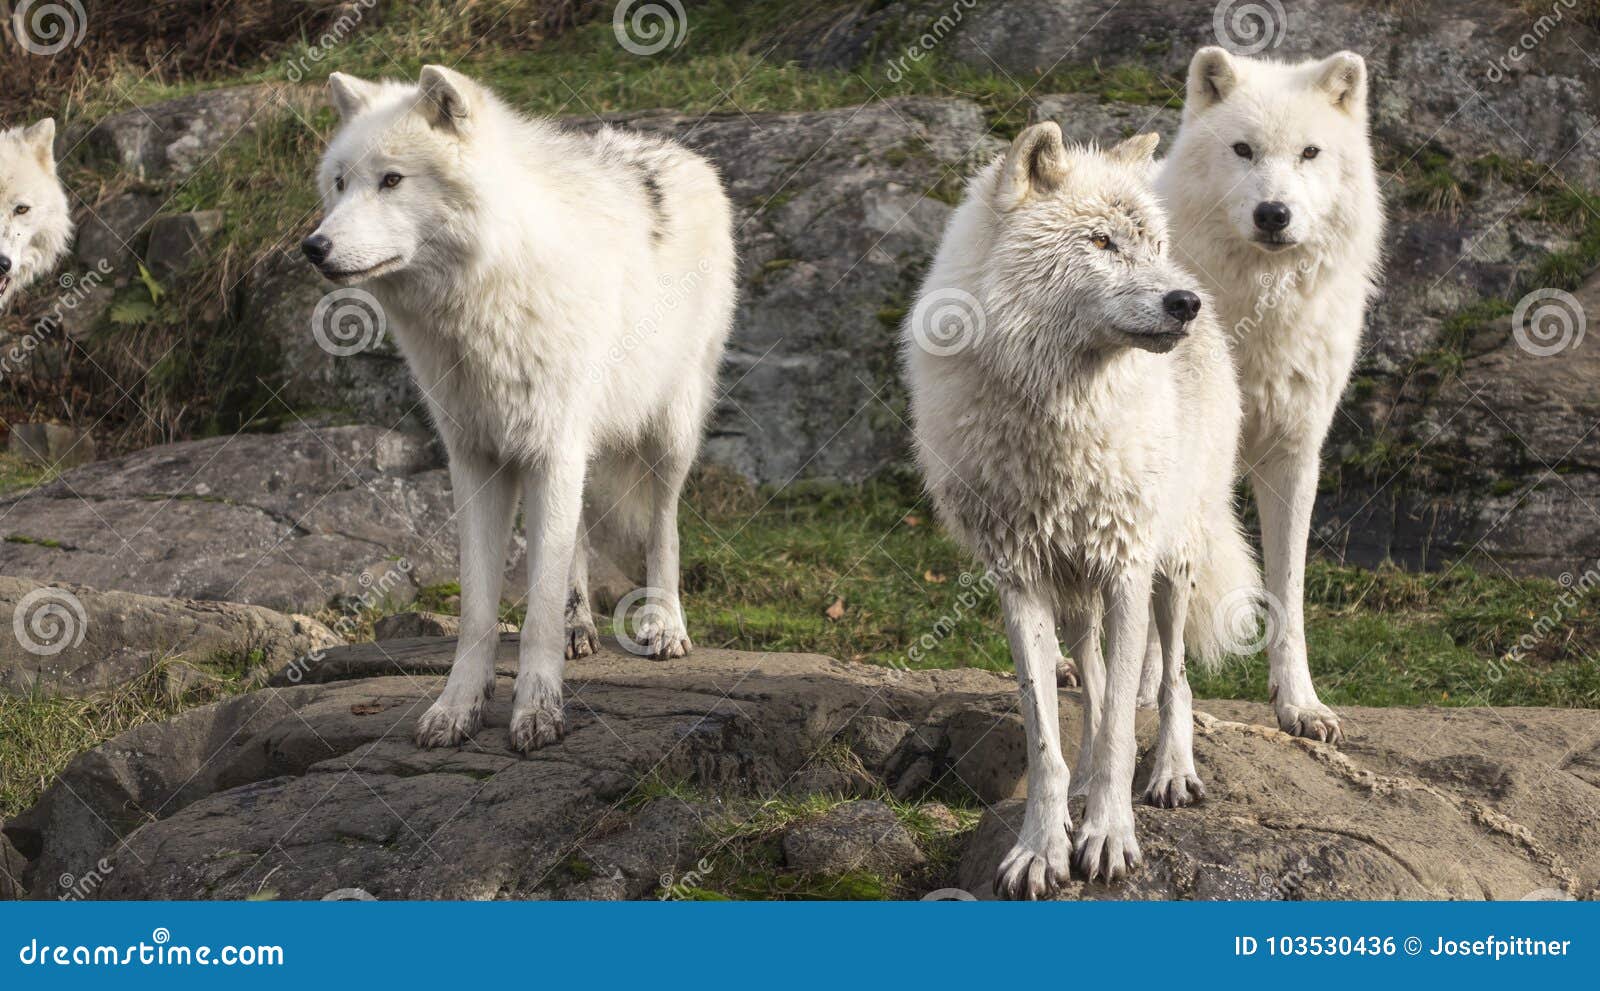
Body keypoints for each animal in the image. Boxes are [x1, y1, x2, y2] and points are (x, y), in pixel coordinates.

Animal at [304, 66, 737, 753]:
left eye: (392, 180)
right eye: (340, 184)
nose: (313, 247)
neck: (485, 297)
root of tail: (672, 149)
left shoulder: (553, 447)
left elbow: (534, 612)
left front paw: (537, 710)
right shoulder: (477, 459)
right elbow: (479, 609)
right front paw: (458, 707)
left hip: (668, 431)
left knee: (662, 524)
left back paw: (664, 624)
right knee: (577, 539)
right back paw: (578, 624)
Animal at [902, 123, 1258, 898]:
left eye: (1149, 244)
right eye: (1100, 241)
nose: (1183, 303)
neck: (1057, 410)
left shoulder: (1126, 568)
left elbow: (1127, 722)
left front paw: (1110, 837)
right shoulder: (1021, 578)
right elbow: (1048, 734)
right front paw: (1044, 844)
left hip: (1170, 563)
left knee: (1173, 676)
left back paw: (1171, 773)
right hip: (1076, 591)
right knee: (1095, 685)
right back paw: (1089, 785)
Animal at [1155, 48, 1383, 743]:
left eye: (1309, 152)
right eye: (1243, 150)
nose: (1273, 213)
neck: (1258, 311)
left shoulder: (1293, 455)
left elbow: (1289, 589)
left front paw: (1300, 705)